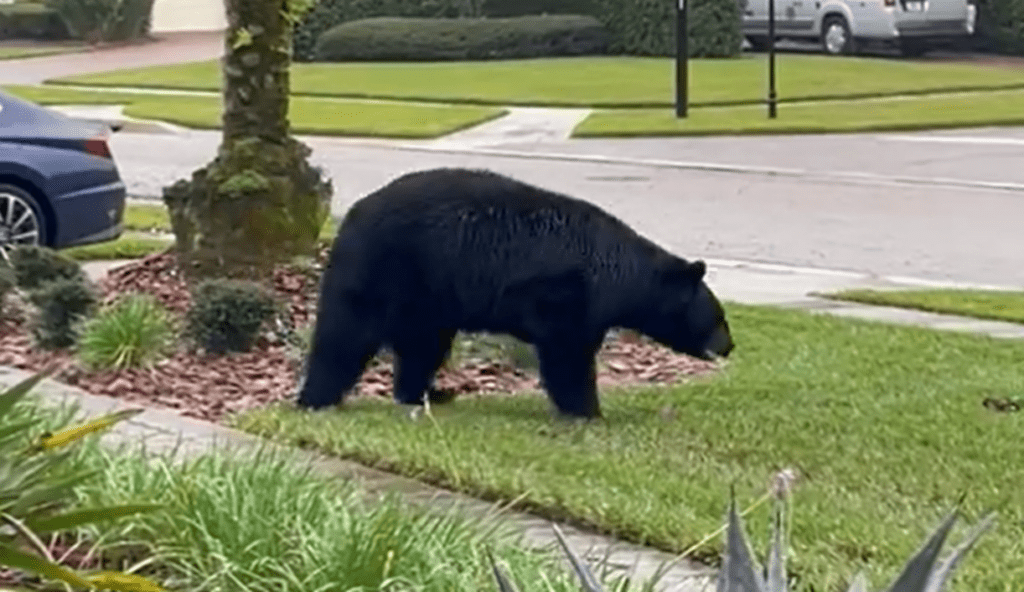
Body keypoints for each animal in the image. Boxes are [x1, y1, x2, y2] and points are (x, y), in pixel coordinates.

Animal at [296, 167, 734, 419]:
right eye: (718, 318)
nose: (729, 346)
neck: (619, 273)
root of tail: (351, 214)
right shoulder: (566, 294)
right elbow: (567, 352)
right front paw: (589, 411)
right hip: (386, 269)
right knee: (346, 334)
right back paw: (316, 398)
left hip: (429, 298)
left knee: (423, 347)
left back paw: (427, 394)